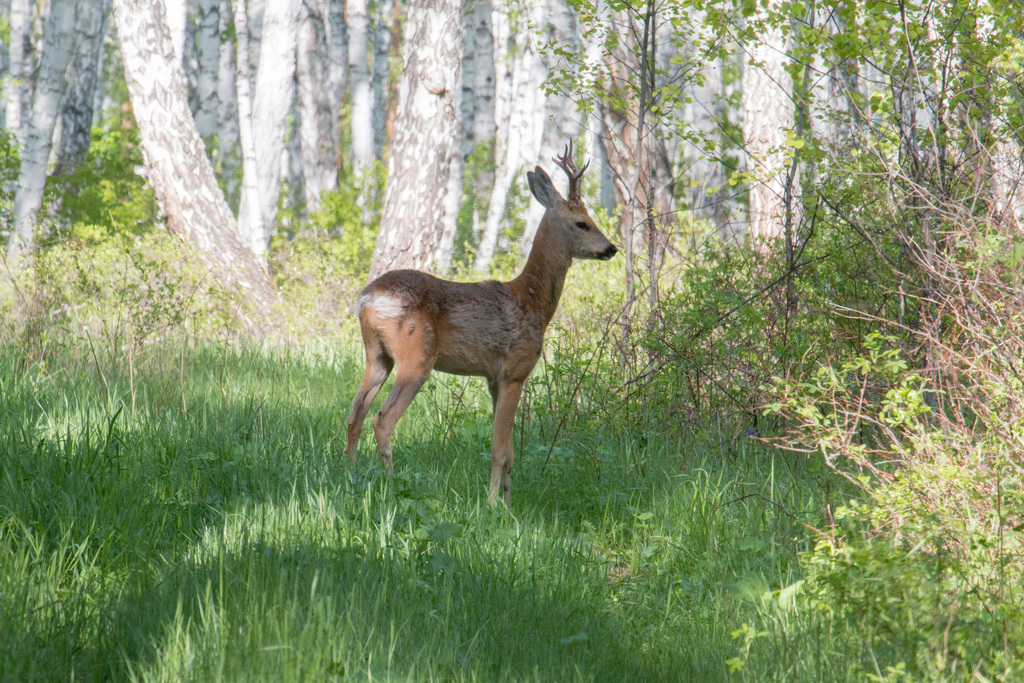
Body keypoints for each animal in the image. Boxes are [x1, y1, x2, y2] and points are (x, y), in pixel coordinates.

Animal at [344, 141, 617, 507]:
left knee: (355, 415)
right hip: (416, 356)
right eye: (582, 223)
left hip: (377, 355)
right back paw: (391, 483)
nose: (611, 248)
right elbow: (499, 449)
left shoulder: (492, 379)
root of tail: (367, 299)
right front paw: (492, 505)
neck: (533, 304)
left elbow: (512, 452)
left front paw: (509, 503)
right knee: (382, 420)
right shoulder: (514, 371)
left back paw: (351, 474)